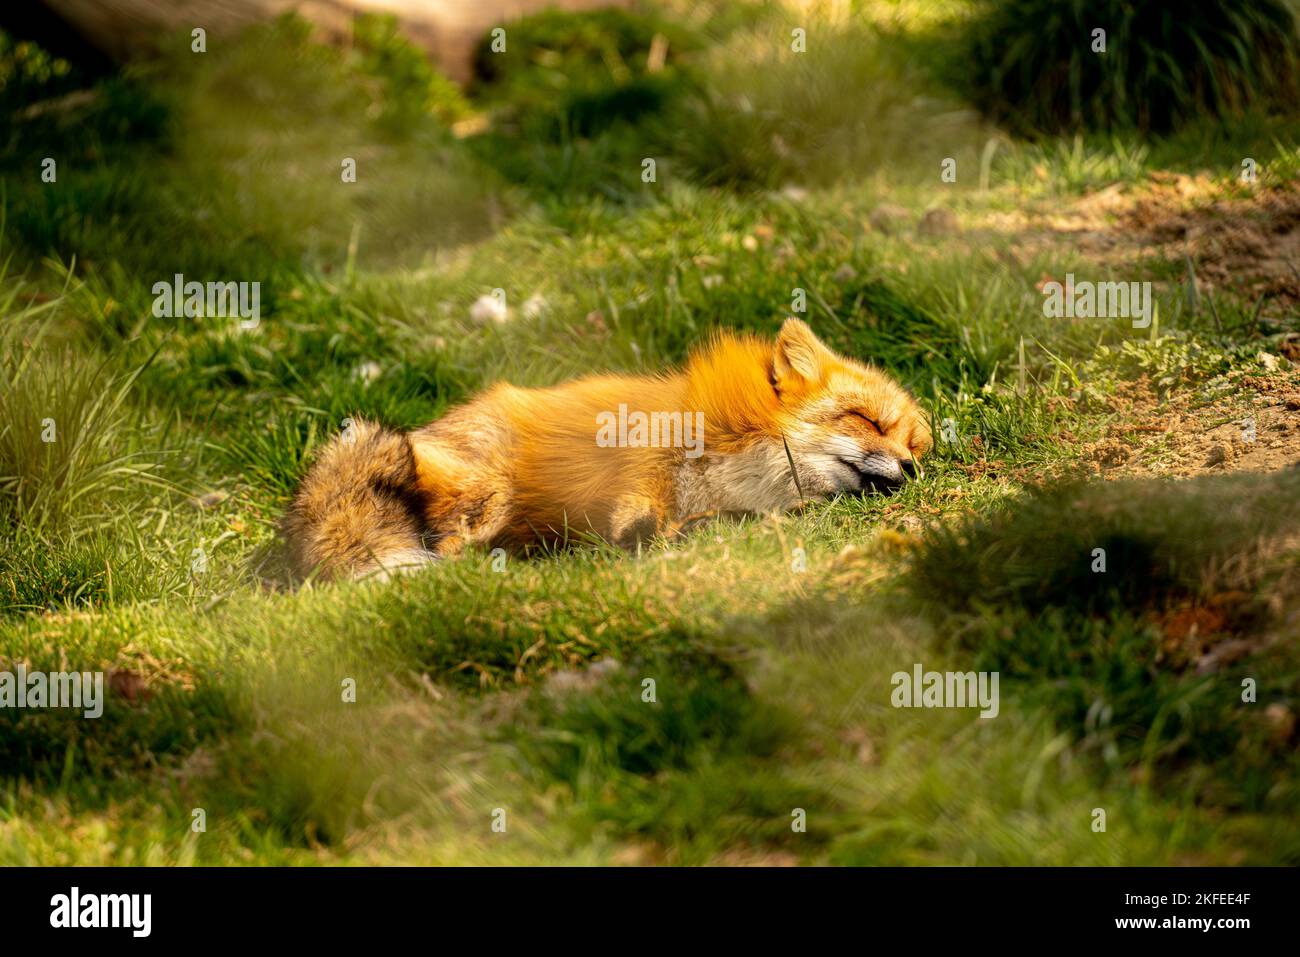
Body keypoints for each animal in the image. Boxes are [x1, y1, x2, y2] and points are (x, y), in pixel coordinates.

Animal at [283, 318, 932, 581]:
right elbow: (643, 478)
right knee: (449, 543)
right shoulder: (653, 437)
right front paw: (636, 523)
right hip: (487, 492)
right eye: (866, 420)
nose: (909, 467)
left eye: (914, 445)